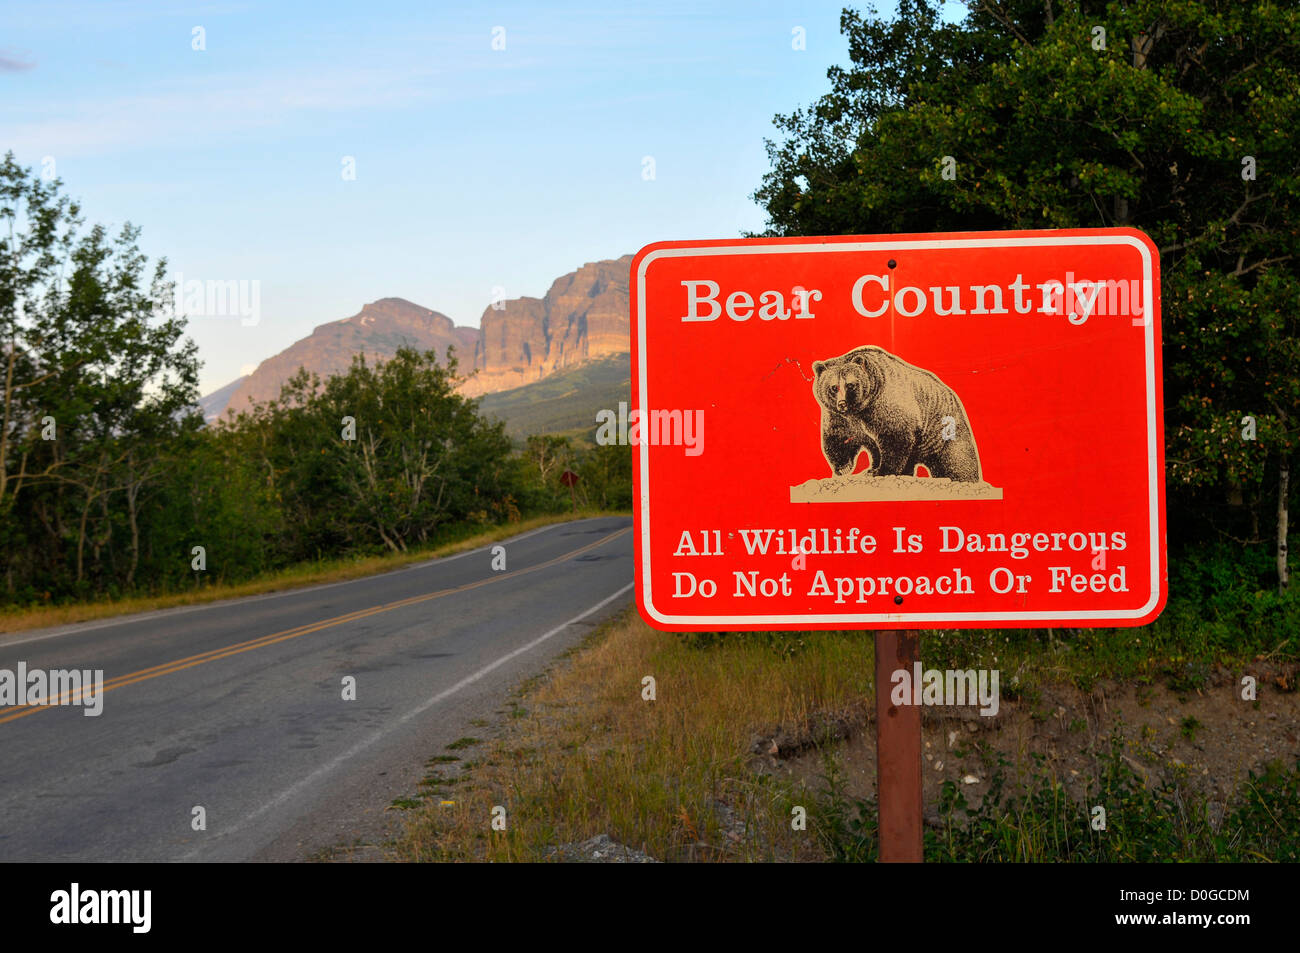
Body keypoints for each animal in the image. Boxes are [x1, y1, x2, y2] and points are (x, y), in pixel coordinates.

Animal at [812, 345, 982, 482]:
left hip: (943, 433)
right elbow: (838, 437)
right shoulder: (839, 417)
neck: (859, 410)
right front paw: (843, 468)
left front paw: (882, 471)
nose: (842, 403)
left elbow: (895, 438)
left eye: (850, 385)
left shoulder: (886, 407)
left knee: (957, 462)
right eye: (833, 387)